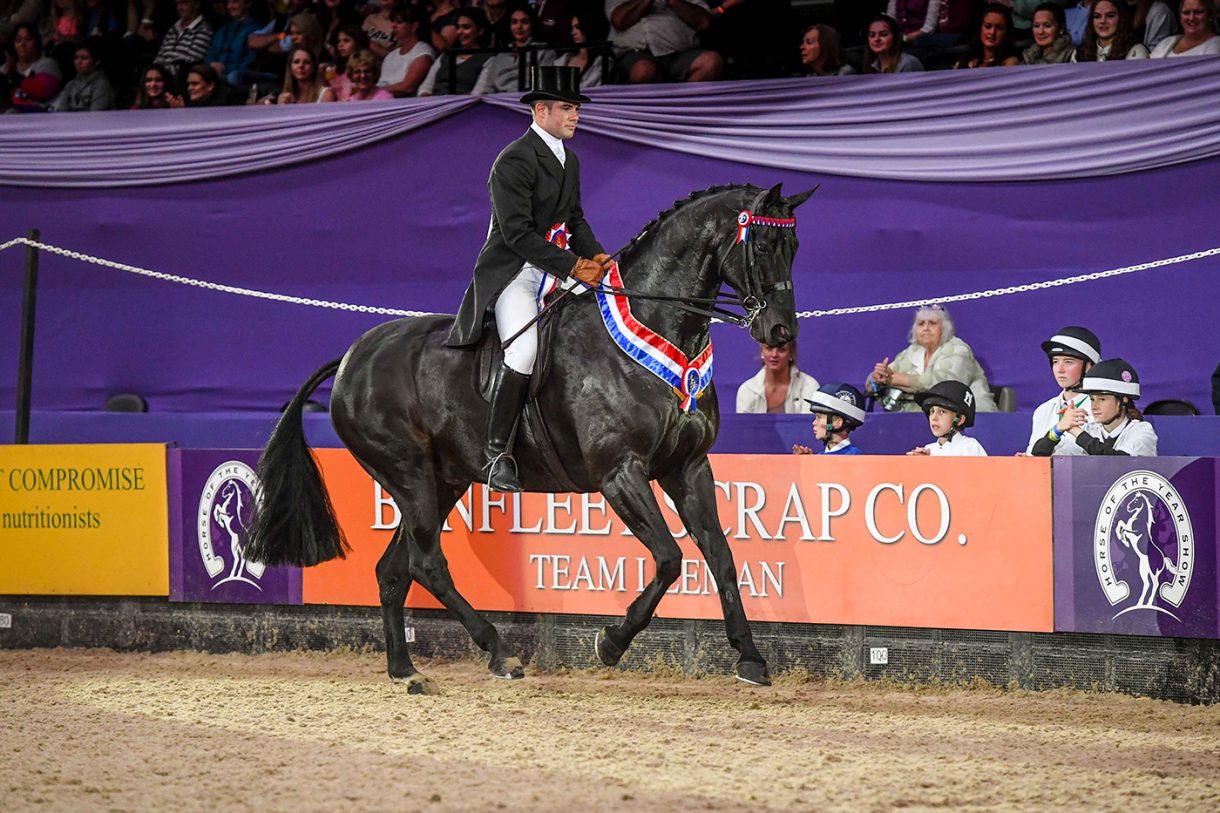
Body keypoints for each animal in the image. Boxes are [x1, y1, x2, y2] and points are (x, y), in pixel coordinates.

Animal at [245, 183, 815, 693]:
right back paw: (499, 652)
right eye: (764, 245)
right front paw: (610, 643)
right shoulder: (620, 473)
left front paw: (751, 658)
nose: (781, 333)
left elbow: (721, 556)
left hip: (443, 479)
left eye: (795, 248)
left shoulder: (688, 466)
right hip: (408, 475)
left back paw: (406, 672)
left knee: (394, 569)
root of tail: (350, 359)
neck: (655, 330)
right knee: (427, 564)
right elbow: (670, 558)